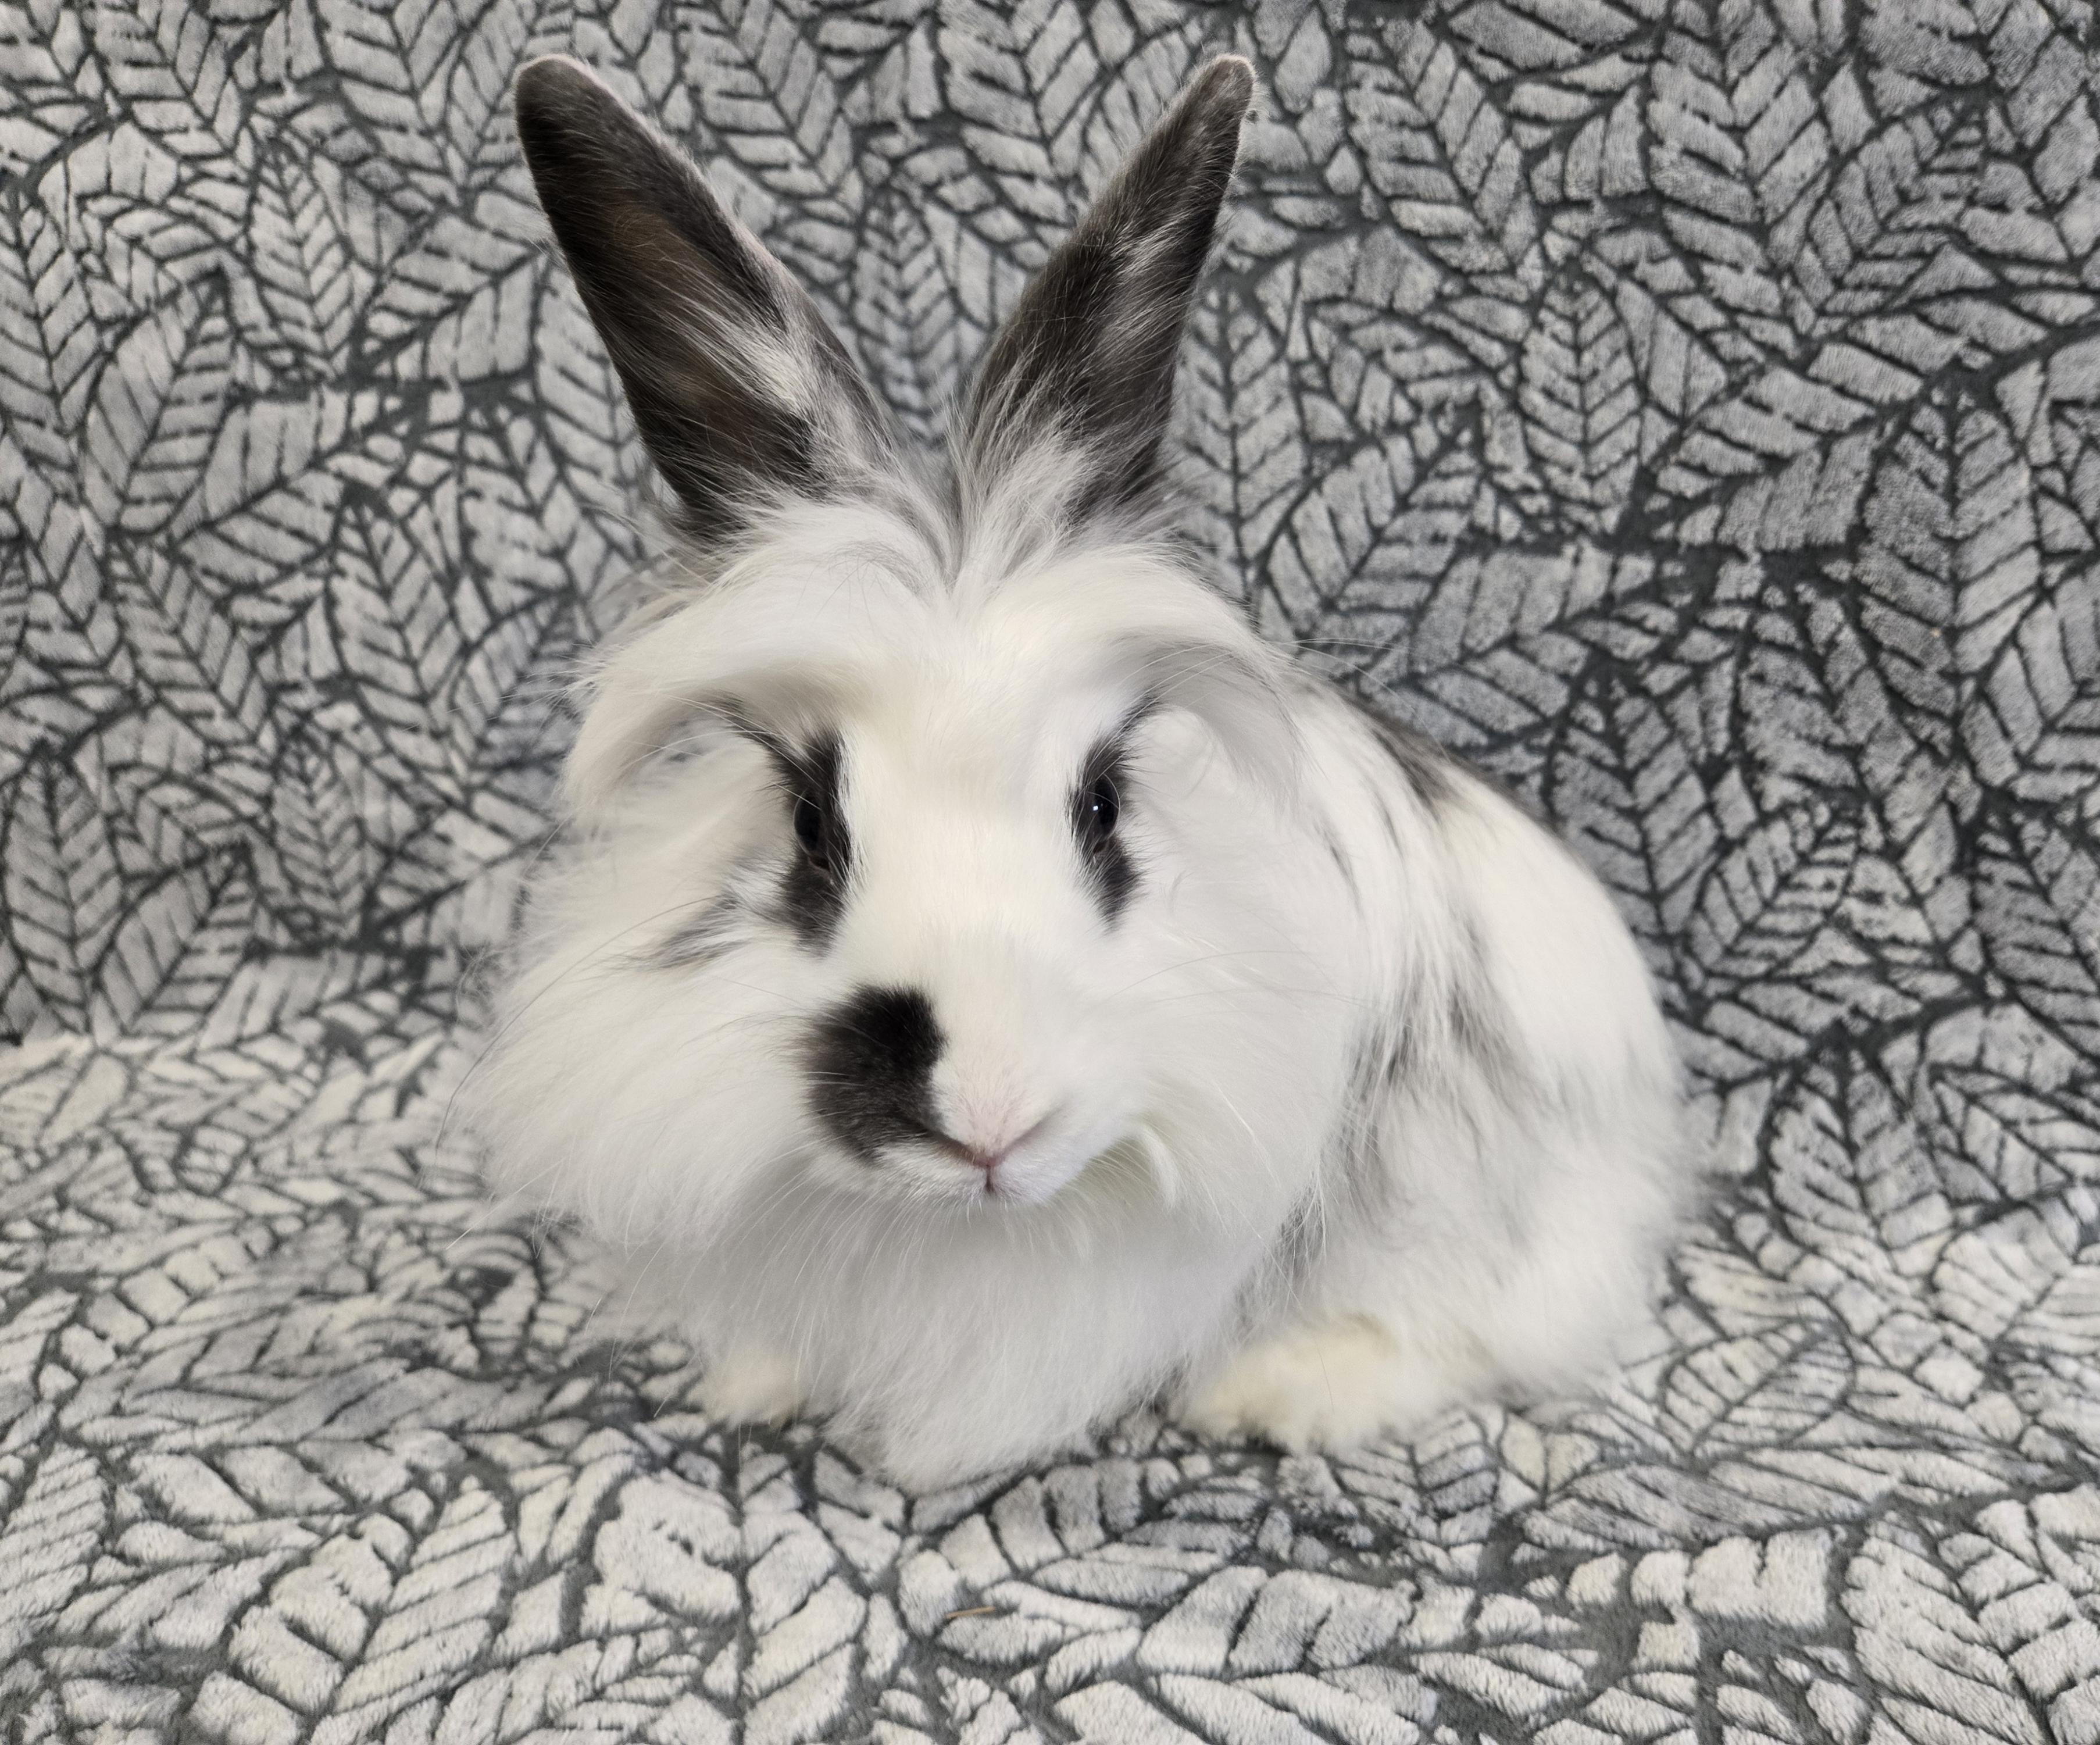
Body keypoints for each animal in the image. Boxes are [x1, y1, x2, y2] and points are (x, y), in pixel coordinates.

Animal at [463, 52, 1692, 1491]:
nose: (988, 1115)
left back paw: (1289, 1391)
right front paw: (757, 1379)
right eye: (811, 823)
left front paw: (1279, 1389)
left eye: (1102, 806)